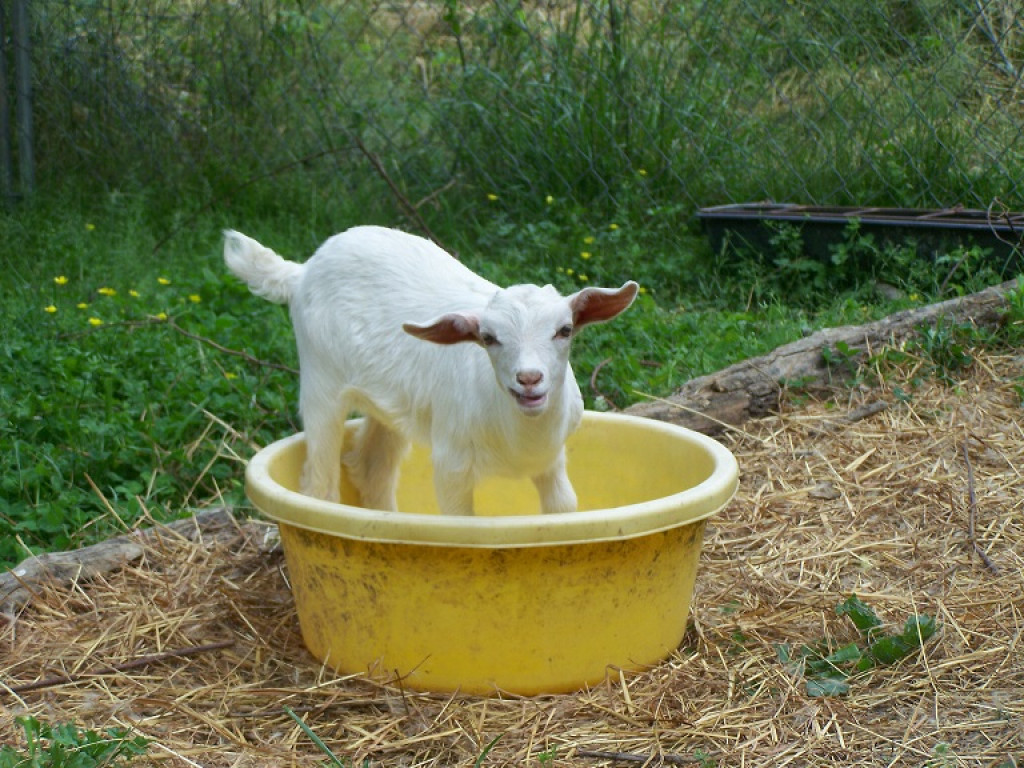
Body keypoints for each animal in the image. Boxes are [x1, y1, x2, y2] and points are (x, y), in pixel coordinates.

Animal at [224, 226, 637, 516]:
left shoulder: (552, 461)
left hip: (389, 402)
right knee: (320, 481)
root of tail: (302, 270)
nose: (529, 379)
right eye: (488, 338)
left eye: (565, 330)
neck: (519, 436)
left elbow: (564, 507)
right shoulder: (451, 466)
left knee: (370, 467)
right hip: (320, 380)